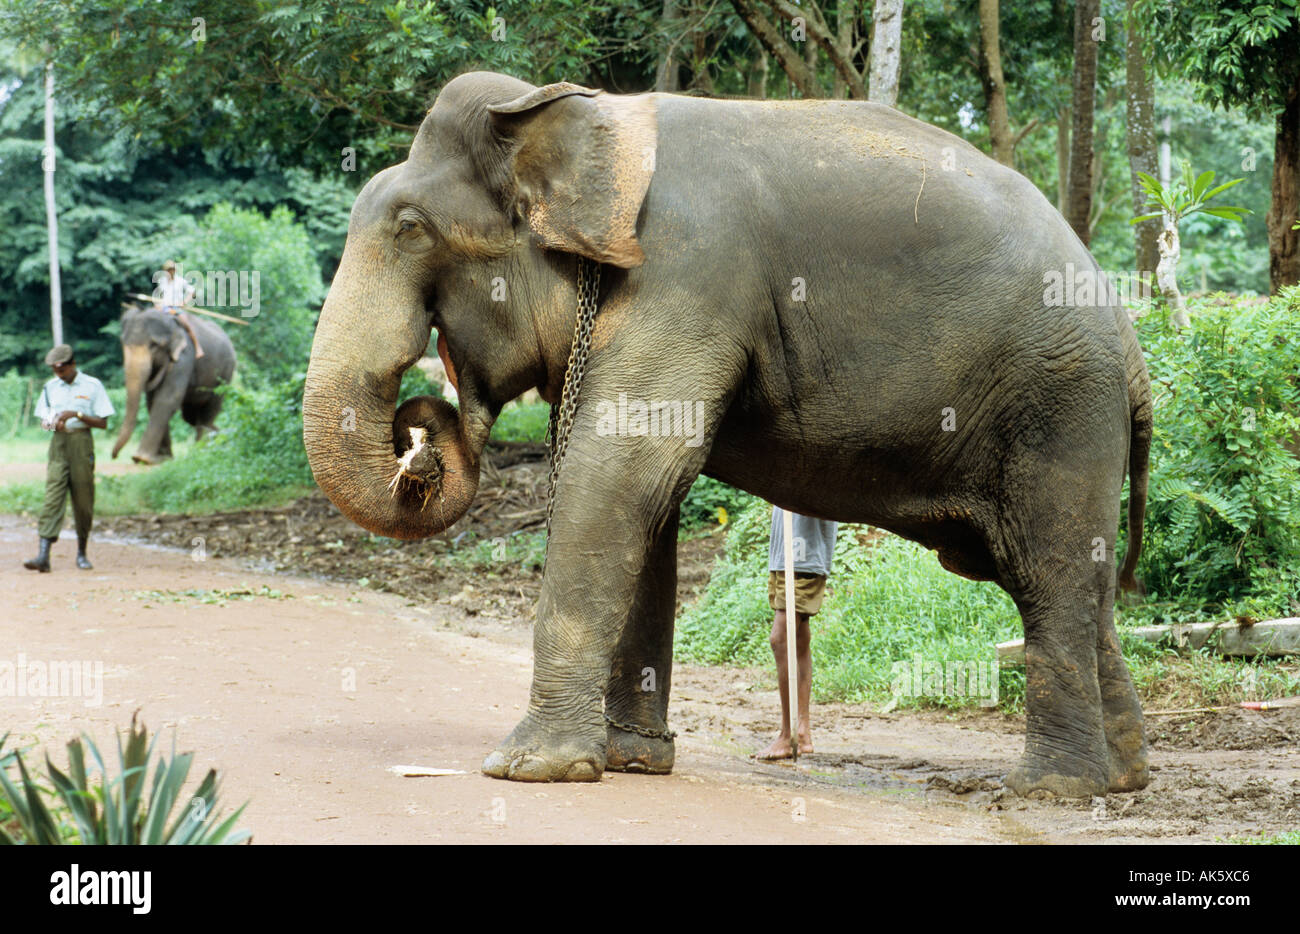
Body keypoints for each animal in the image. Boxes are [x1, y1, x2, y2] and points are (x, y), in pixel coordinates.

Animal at [112, 304, 237, 464]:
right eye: (124, 343)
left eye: (154, 345)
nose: (114, 456)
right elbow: (152, 401)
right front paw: (162, 458)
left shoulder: (184, 356)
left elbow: (167, 398)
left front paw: (141, 458)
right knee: (190, 416)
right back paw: (218, 436)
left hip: (225, 374)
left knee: (210, 408)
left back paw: (202, 451)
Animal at [302, 72, 1153, 798]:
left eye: (411, 229)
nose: (421, 432)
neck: (593, 119)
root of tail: (1130, 340)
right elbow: (643, 505)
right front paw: (630, 762)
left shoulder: (686, 274)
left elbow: (619, 476)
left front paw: (527, 771)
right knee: (1082, 584)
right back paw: (1121, 778)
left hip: (1059, 403)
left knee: (1048, 574)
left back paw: (1051, 788)